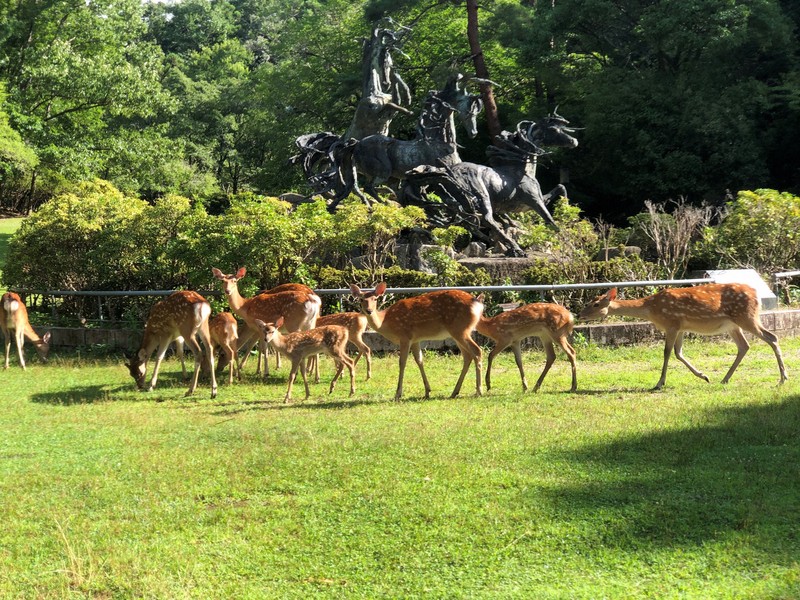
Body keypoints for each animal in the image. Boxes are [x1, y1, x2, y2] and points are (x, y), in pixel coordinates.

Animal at [349, 282, 484, 400]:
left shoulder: (404, 336)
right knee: (468, 356)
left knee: (477, 351)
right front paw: (427, 391)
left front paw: (398, 394)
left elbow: (402, 363)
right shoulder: (415, 339)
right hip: (458, 332)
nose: (369, 310)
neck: (386, 323)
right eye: (361, 299)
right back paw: (454, 392)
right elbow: (419, 361)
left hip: (460, 329)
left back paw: (479, 391)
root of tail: (478, 304)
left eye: (375, 298)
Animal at [579, 283, 788, 390]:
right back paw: (724, 379)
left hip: (747, 317)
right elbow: (678, 353)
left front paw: (659, 383)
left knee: (772, 337)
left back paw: (783, 378)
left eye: (596, 304)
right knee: (744, 346)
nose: (580, 314)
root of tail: (757, 295)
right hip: (733, 324)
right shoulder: (680, 327)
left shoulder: (671, 323)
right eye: (589, 302)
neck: (651, 309)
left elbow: (667, 353)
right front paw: (704, 376)